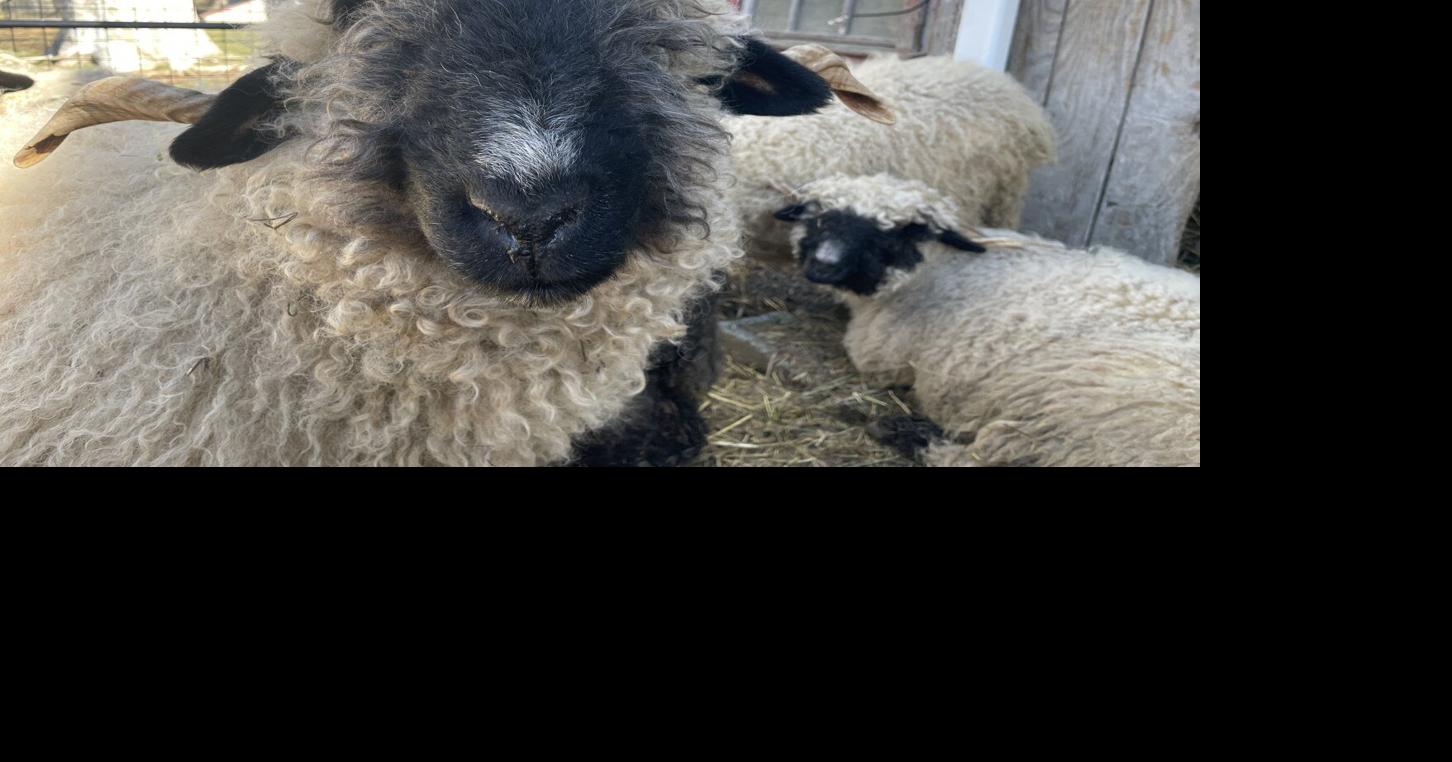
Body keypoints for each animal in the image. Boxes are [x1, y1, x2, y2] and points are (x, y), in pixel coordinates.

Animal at [774, 174, 1200, 467]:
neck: (940, 266)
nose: (823, 266)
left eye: (896, 235)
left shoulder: (881, 355)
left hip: (1078, 417)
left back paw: (900, 430)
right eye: (820, 220)